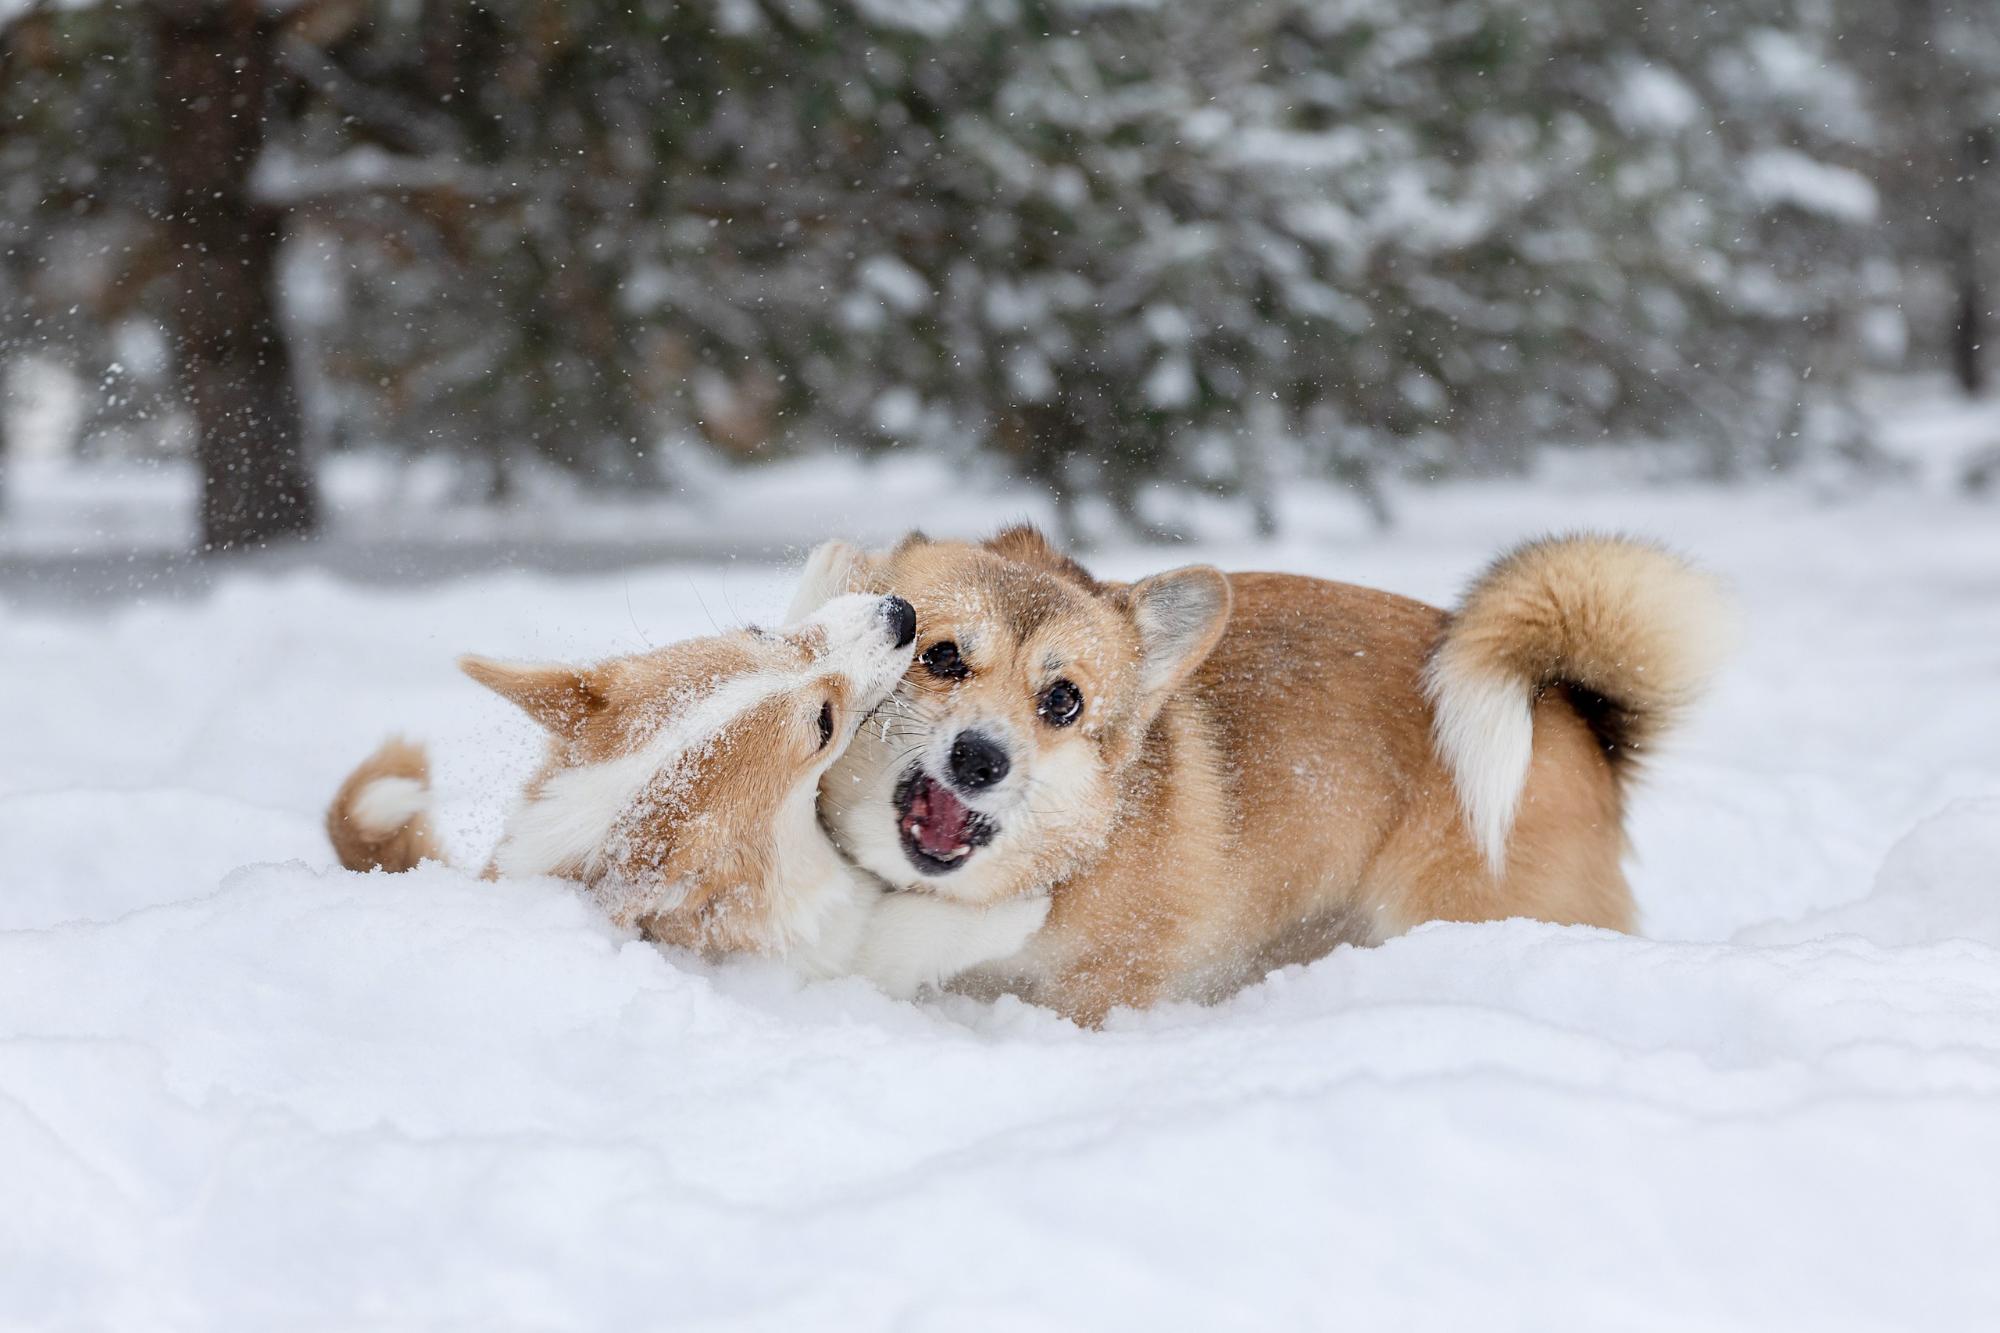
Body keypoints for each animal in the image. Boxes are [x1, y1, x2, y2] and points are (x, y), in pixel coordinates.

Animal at [326, 592, 1048, 996]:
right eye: (823, 724)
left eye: (760, 629)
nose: (901, 612)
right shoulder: (836, 954)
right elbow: (915, 929)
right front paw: (1026, 909)